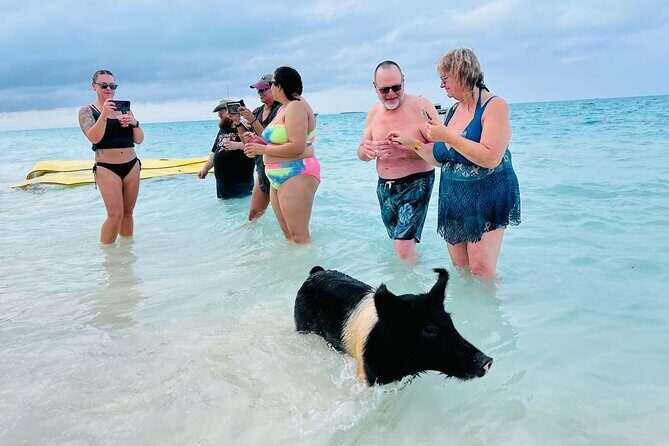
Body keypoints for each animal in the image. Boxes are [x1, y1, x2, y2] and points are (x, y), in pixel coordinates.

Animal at [294, 266, 492, 385]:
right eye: (429, 330)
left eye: (450, 321)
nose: (487, 360)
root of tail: (315, 272)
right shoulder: (366, 375)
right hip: (301, 322)